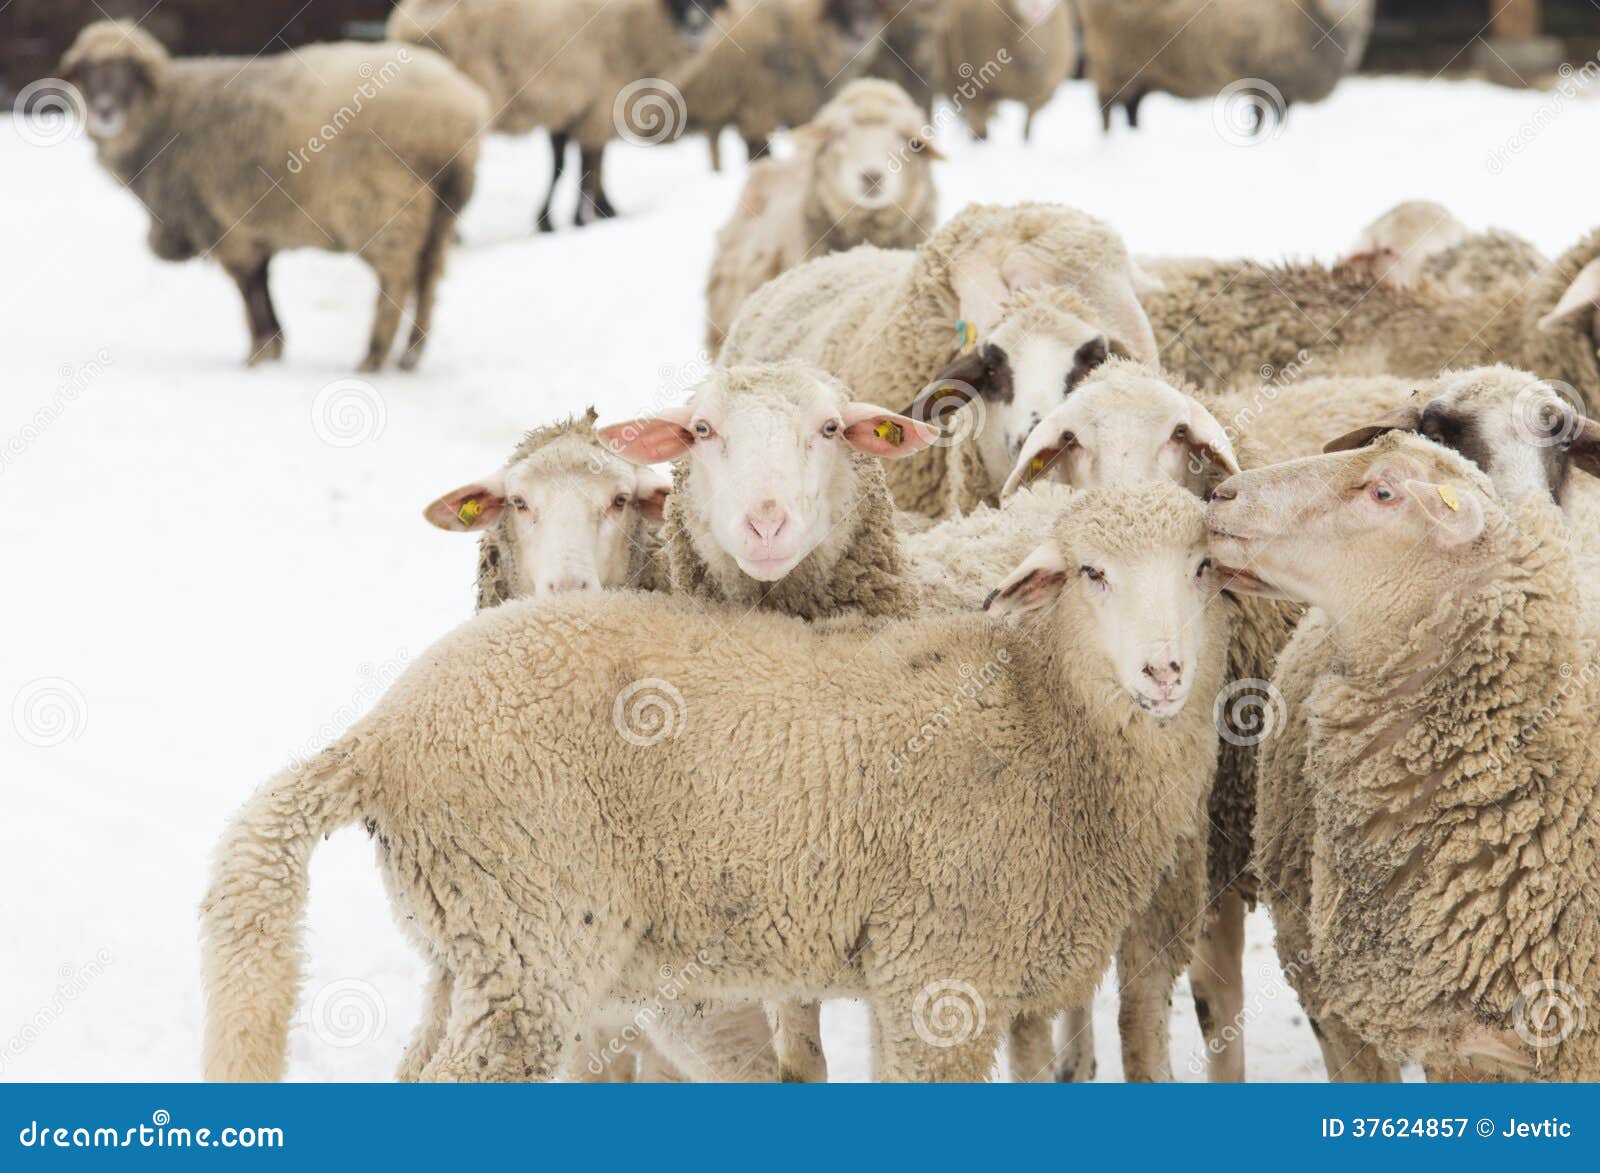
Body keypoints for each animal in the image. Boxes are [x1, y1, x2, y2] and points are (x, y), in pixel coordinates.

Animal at [61, 20, 487, 372]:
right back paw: (411, 355)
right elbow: (262, 281)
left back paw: (373, 356)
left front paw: (260, 353)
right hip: (442, 211)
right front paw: (274, 346)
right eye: (87, 72)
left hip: (386, 203)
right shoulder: (249, 225)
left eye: (131, 71)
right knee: (428, 276)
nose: (105, 111)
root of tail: (460, 113)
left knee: (397, 277)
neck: (166, 116)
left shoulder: (223, 221)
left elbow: (250, 286)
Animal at [200, 479, 1231, 1082]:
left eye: (1204, 566)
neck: (1043, 712)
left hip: (474, 938)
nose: (1165, 670)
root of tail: (381, 733)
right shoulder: (938, 977)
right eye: (1090, 572)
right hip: (532, 941)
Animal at [389, 0, 726, 231]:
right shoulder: (601, 100)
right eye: (680, 1)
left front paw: (554, 219)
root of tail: (409, 26)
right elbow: (590, 163)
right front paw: (585, 217)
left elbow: (563, 164)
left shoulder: (570, 107)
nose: (696, 26)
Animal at [1076, 0, 1373, 133]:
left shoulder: (1286, 88)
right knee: (1105, 107)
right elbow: (1260, 119)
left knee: (1131, 108)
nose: (1338, 6)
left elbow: (1281, 120)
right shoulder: (1259, 78)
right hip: (1112, 61)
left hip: (1141, 72)